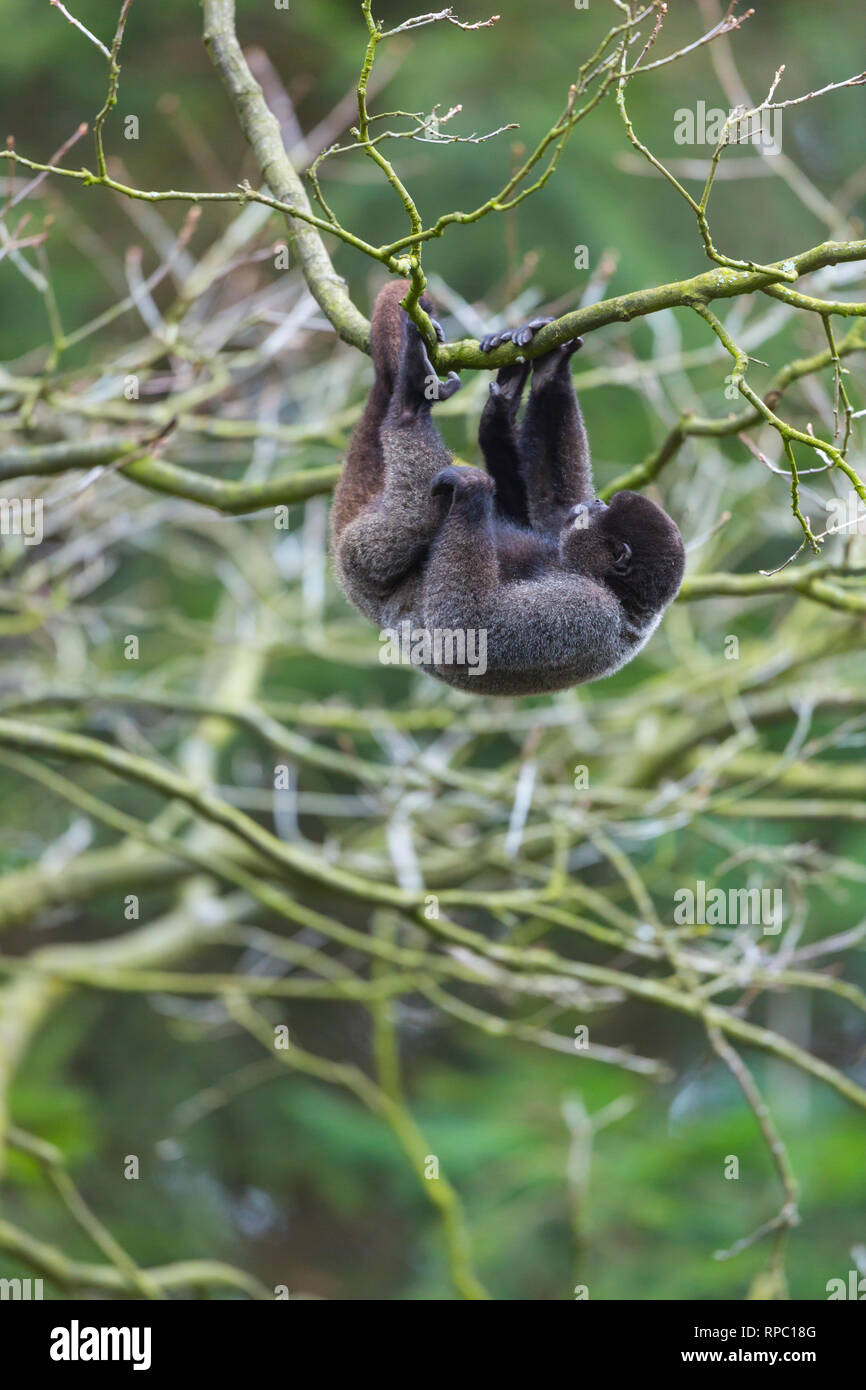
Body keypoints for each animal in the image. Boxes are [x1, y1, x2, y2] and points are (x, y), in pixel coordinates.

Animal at [331, 280, 686, 697]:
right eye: (601, 504)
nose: (591, 504)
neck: (624, 600)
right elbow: (551, 507)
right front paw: (549, 368)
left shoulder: (587, 609)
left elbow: (466, 631)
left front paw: (474, 490)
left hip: (362, 555)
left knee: (416, 514)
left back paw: (411, 400)